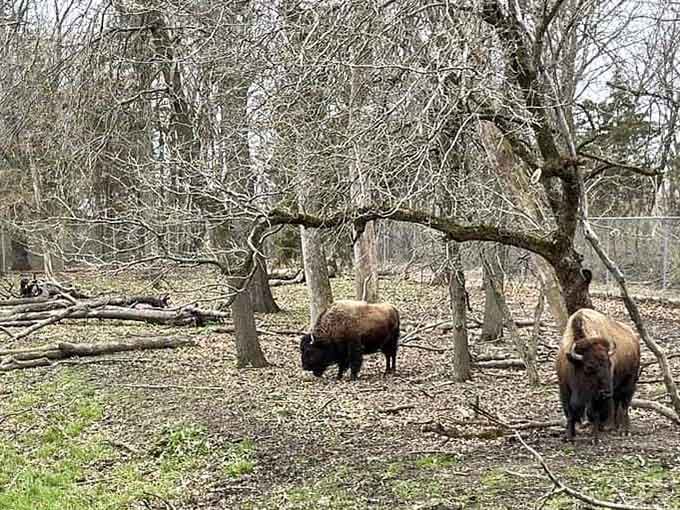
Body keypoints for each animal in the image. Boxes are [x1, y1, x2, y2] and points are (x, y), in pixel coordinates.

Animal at [556, 308, 640, 441]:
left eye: (609, 364)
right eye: (588, 367)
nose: (606, 392)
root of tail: (634, 338)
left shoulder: (595, 397)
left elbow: (593, 414)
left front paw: (594, 438)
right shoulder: (564, 389)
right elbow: (569, 413)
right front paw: (569, 436)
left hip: (629, 383)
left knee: (624, 405)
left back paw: (624, 430)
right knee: (616, 404)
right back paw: (614, 426)